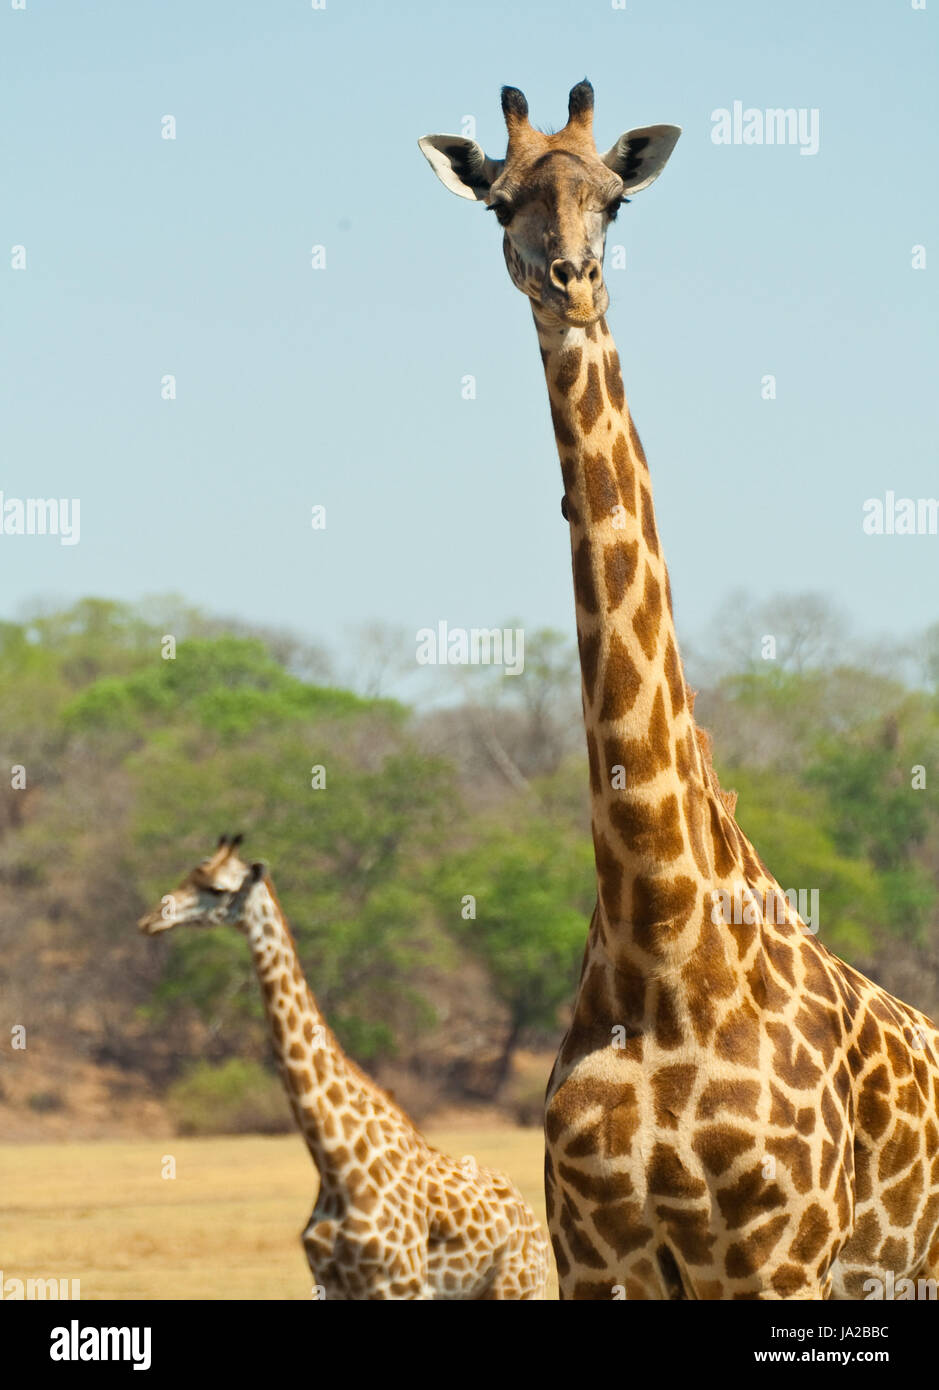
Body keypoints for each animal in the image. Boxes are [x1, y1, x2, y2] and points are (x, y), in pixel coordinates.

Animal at [138, 836, 549, 1300]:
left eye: (218, 888)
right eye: (190, 876)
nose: (151, 920)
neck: (335, 1161)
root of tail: (532, 1221)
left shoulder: (399, 1285)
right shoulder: (330, 1283)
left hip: (518, 1288)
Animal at [419, 81, 939, 1300]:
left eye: (613, 197)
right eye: (501, 202)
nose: (571, 280)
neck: (661, 939)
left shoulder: (778, 1258)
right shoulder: (596, 1256)